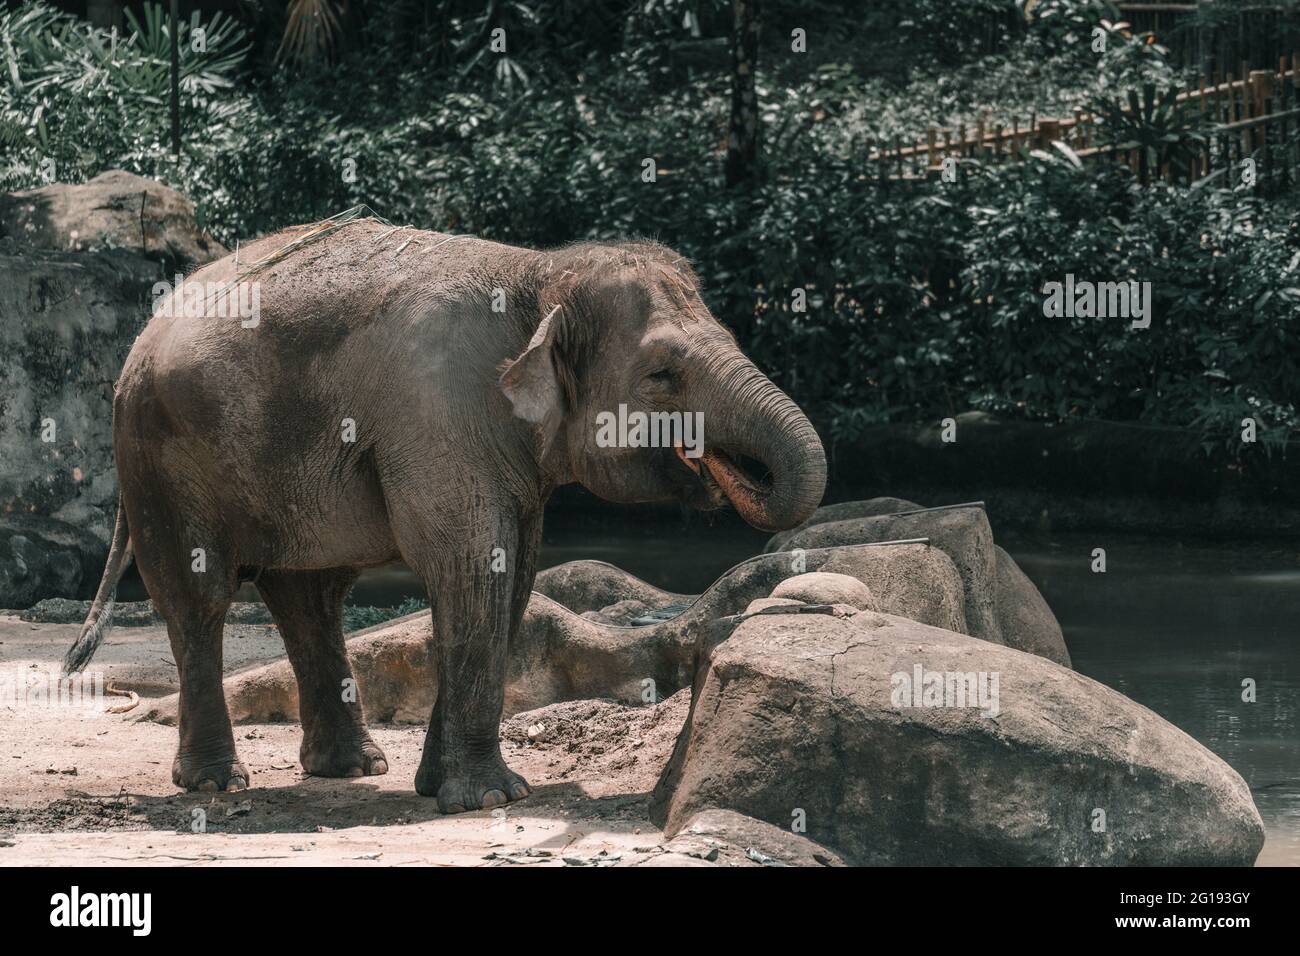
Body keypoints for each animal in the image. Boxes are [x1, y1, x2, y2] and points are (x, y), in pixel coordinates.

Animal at [63, 218, 828, 812]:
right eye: (662, 375)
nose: (719, 466)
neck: (539, 272)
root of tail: (144, 333)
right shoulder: (439, 416)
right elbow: (472, 567)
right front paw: (491, 798)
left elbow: (514, 575)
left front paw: (444, 788)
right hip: (160, 459)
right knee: (200, 595)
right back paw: (216, 785)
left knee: (309, 594)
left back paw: (354, 769)